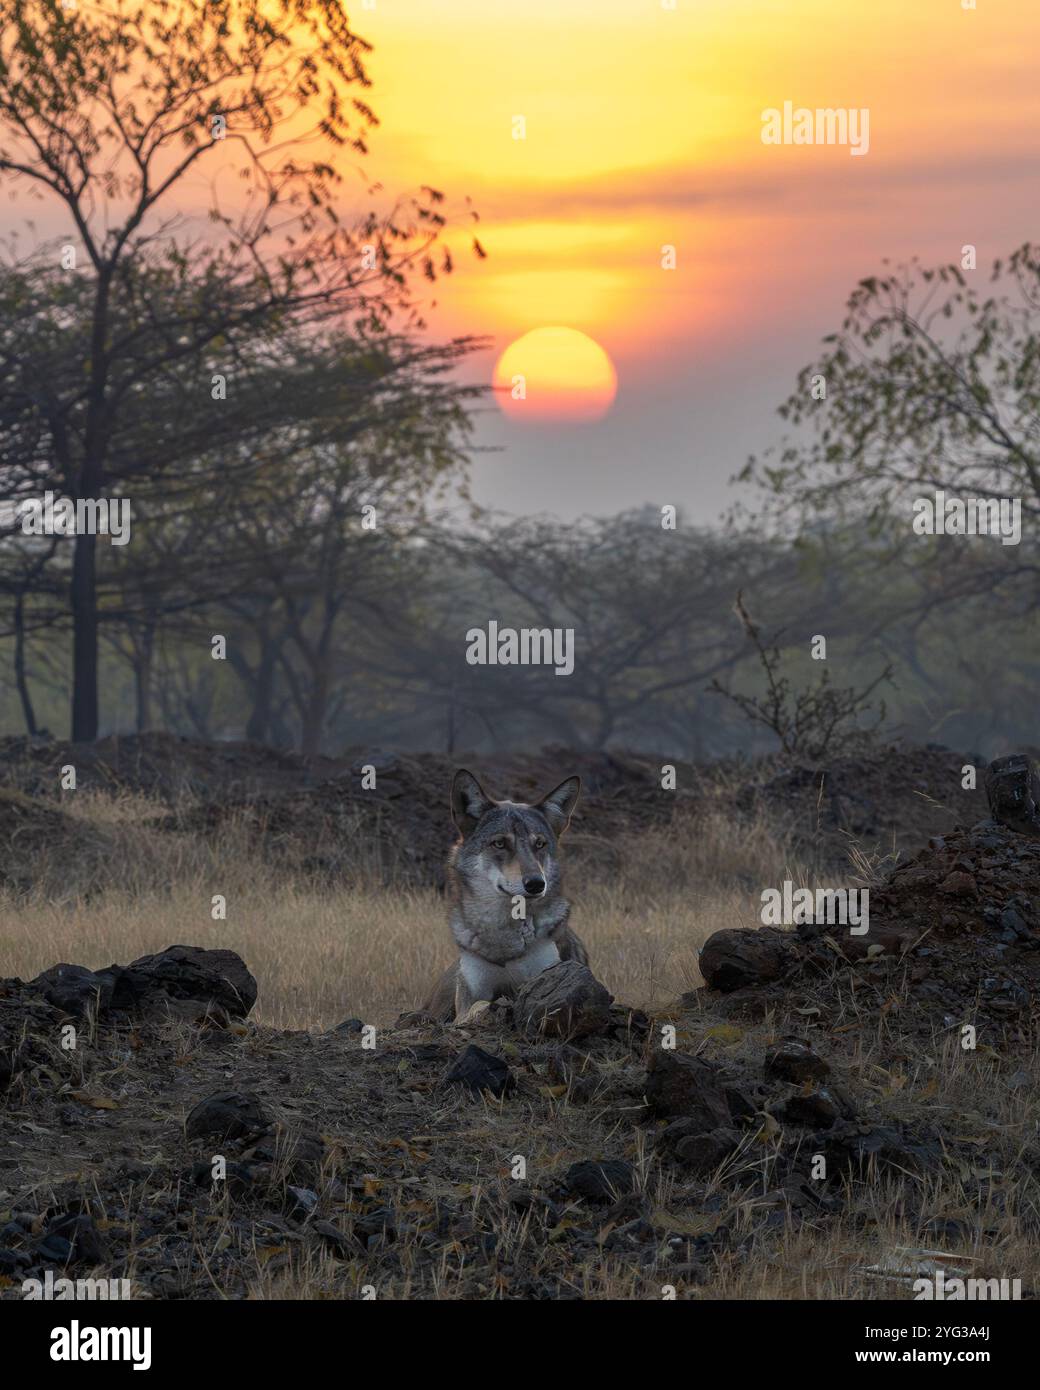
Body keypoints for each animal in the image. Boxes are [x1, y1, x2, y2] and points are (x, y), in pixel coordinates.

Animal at [424, 768, 588, 1022]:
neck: (505, 933)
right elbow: (478, 1004)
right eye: (500, 843)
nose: (536, 883)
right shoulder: (469, 997)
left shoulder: (545, 975)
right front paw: (492, 1008)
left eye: (540, 844)